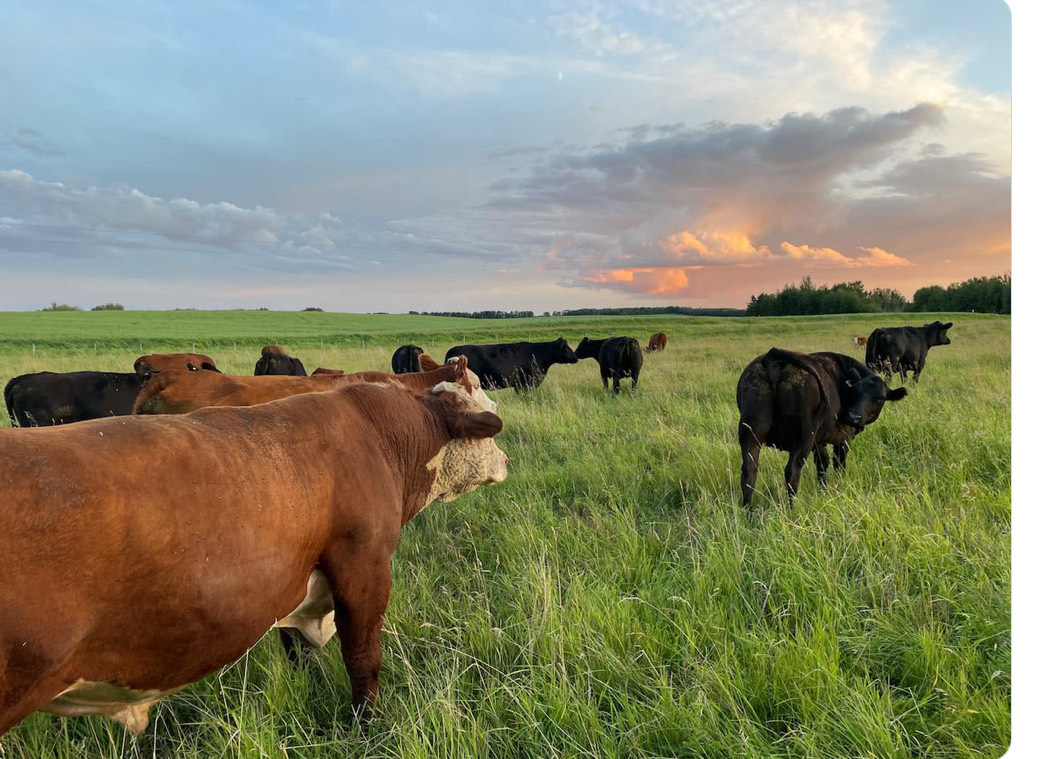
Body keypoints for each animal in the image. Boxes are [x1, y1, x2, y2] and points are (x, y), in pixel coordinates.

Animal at [0, 380, 507, 737]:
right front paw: (369, 726)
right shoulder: (364, 562)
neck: (379, 436)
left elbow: (299, 650)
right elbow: (363, 657)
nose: (505, 460)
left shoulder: (292, 582)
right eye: (490, 411)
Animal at [736, 348, 907, 509]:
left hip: (751, 433)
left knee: (748, 474)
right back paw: (792, 509)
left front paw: (823, 490)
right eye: (855, 391)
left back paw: (749, 512)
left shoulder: (819, 443)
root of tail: (773, 359)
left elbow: (822, 465)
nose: (853, 416)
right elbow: (838, 465)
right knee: (792, 472)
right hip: (803, 437)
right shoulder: (842, 439)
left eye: (880, 398)